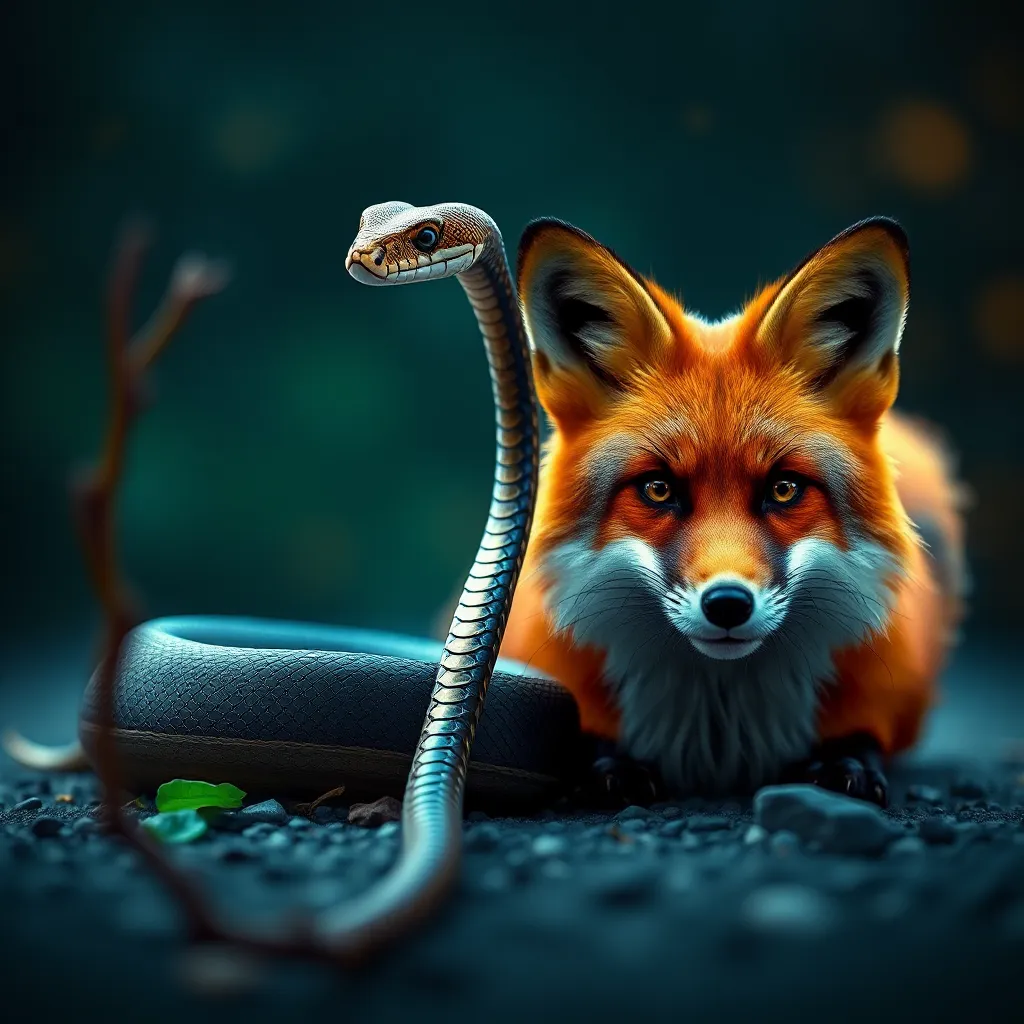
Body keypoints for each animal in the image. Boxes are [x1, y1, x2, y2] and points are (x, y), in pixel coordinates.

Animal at [499, 215, 968, 807]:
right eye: (658, 489)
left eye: (784, 489)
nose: (727, 605)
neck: (719, 734)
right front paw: (609, 768)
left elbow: (863, 737)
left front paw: (847, 766)